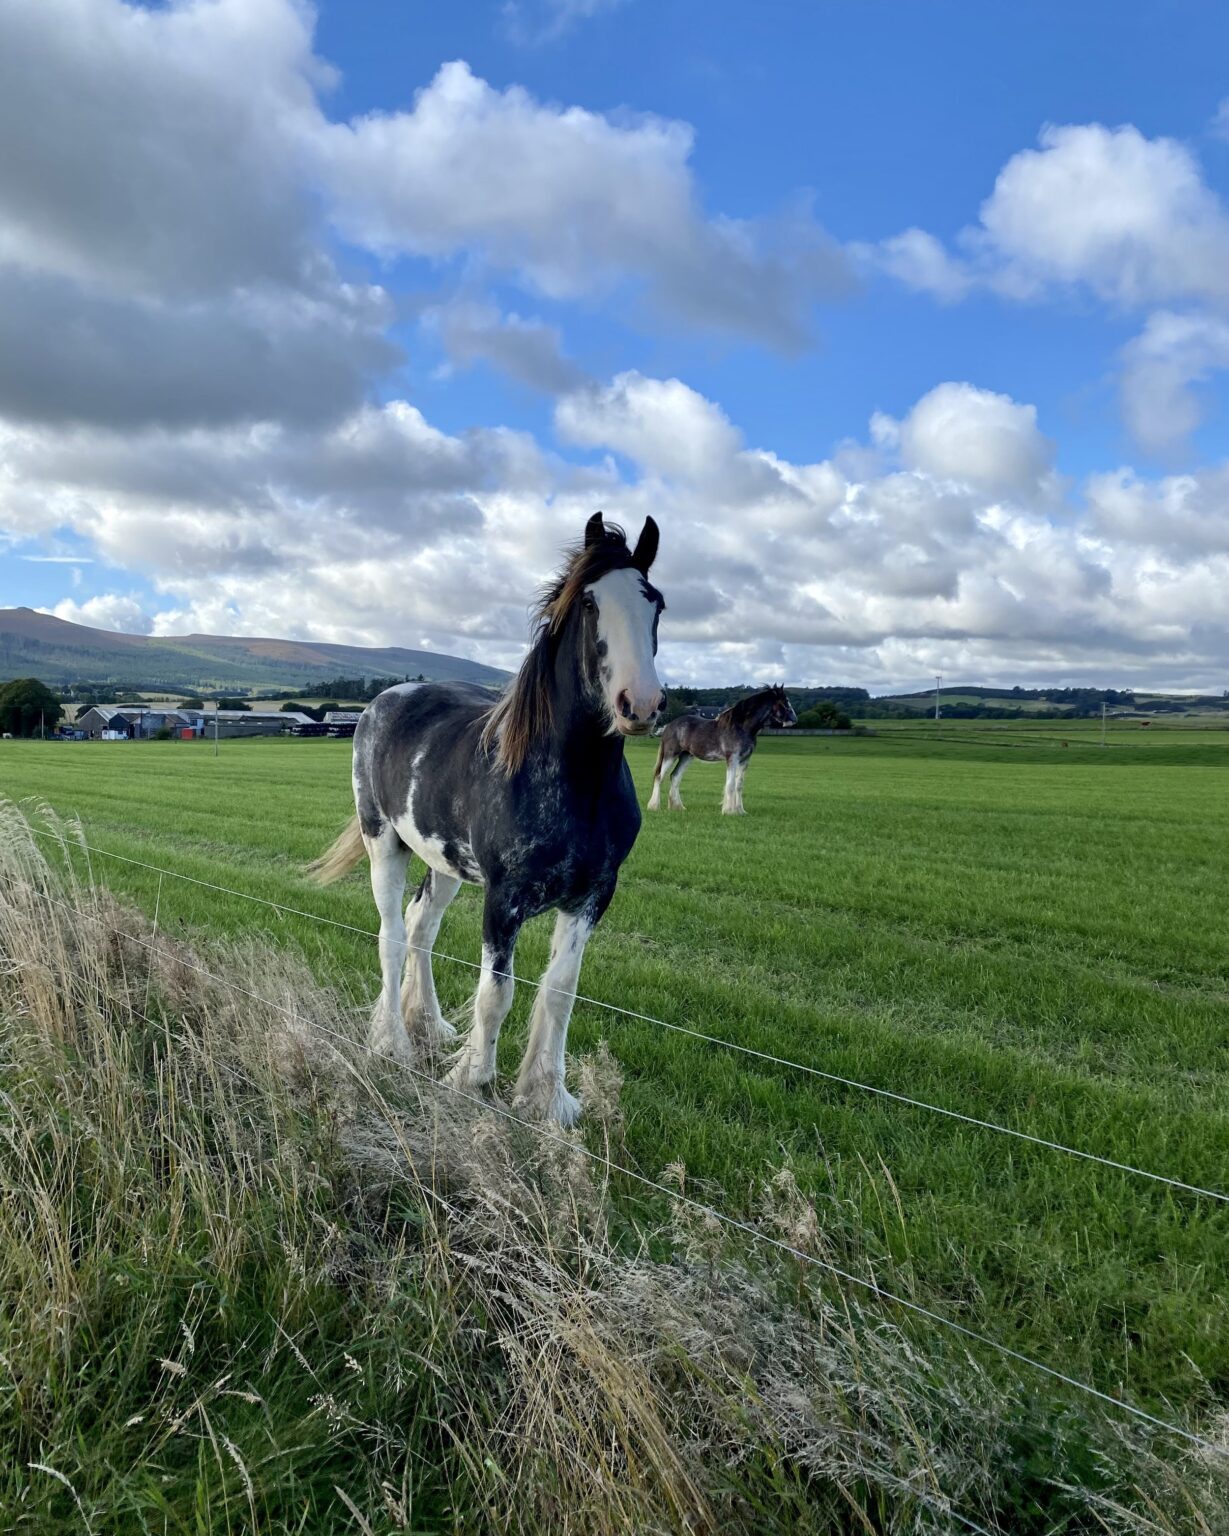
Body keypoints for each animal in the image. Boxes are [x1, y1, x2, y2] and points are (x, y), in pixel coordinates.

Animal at [307, 513, 665, 1126]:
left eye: (657, 604)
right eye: (590, 603)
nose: (638, 704)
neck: (576, 784)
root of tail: (383, 701)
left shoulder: (593, 895)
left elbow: (560, 991)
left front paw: (547, 1098)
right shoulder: (505, 898)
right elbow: (496, 993)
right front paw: (473, 1081)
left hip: (445, 864)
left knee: (421, 928)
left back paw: (427, 1025)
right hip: (384, 844)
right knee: (392, 936)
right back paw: (393, 1044)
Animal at [647, 685, 796, 814]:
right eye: (785, 702)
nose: (794, 719)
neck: (742, 727)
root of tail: (668, 726)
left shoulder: (744, 760)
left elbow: (739, 785)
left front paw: (740, 811)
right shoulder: (732, 758)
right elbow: (730, 784)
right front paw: (729, 811)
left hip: (686, 756)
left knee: (675, 777)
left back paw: (678, 807)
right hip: (670, 755)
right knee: (659, 777)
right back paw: (654, 806)